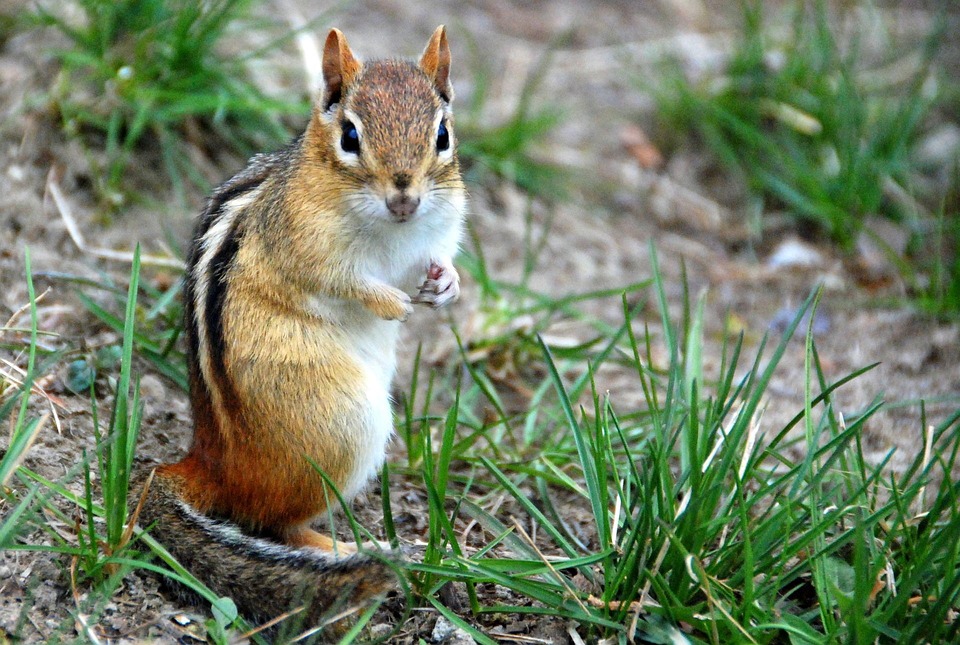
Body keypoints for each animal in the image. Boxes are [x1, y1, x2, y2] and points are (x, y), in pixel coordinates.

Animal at [135, 25, 465, 629]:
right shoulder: (302, 245)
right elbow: (340, 280)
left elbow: (440, 259)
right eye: (351, 135)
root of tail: (212, 463)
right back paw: (357, 549)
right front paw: (393, 304)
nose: (404, 197)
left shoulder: (440, 230)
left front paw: (443, 286)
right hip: (343, 425)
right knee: (273, 524)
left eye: (443, 134)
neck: (391, 228)